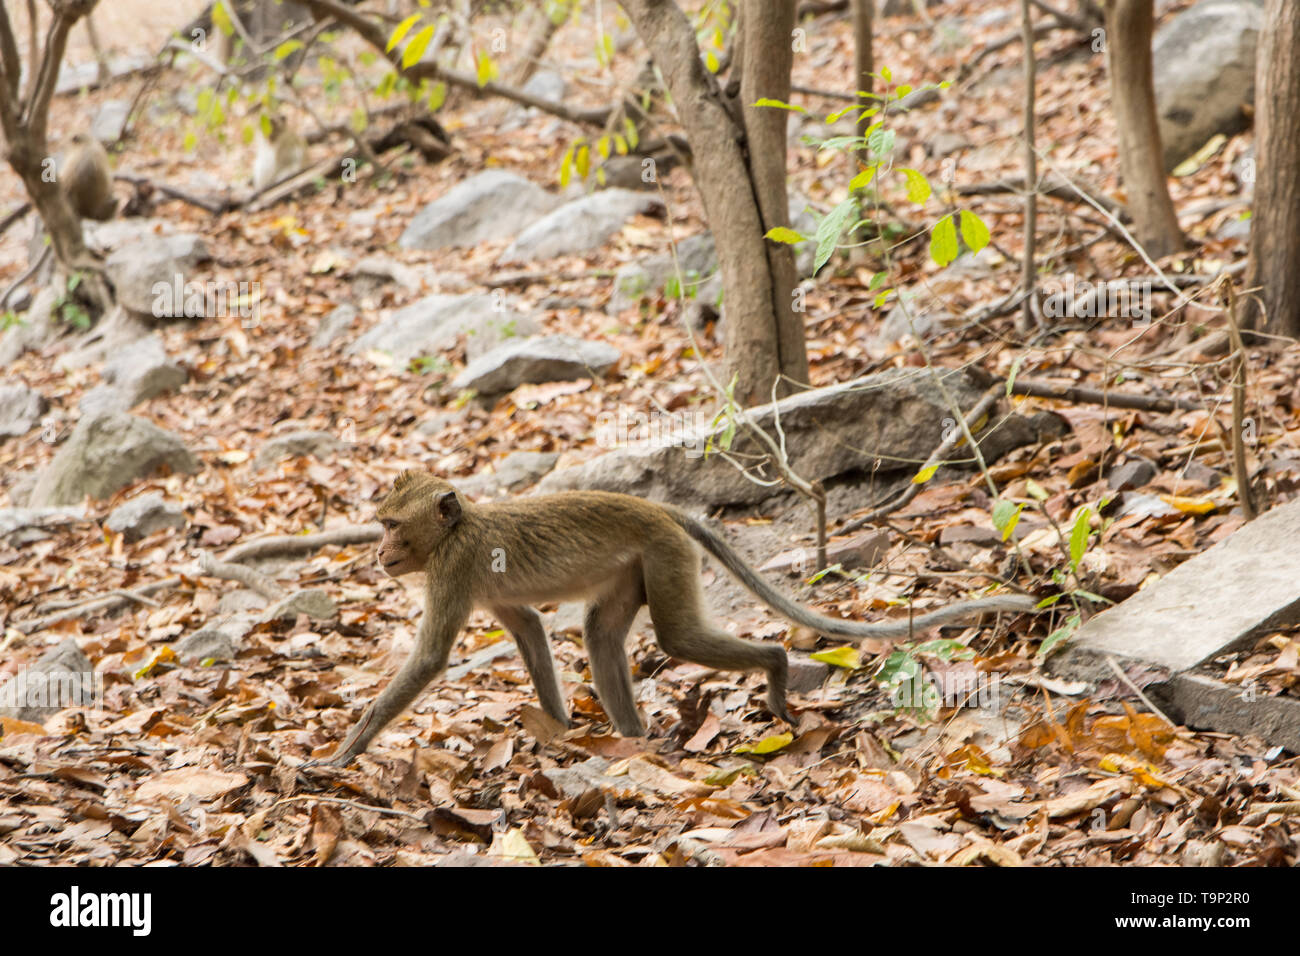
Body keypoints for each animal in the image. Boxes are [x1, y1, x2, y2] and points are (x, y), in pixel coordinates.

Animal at [316, 471, 1036, 767]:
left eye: (390, 526)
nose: (379, 552)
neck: (454, 530)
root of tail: (662, 510)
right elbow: (528, 630)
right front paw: (558, 727)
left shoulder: (453, 568)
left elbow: (431, 658)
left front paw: (344, 751)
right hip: (638, 565)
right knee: (601, 633)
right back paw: (633, 739)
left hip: (663, 555)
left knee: (678, 637)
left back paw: (775, 669)